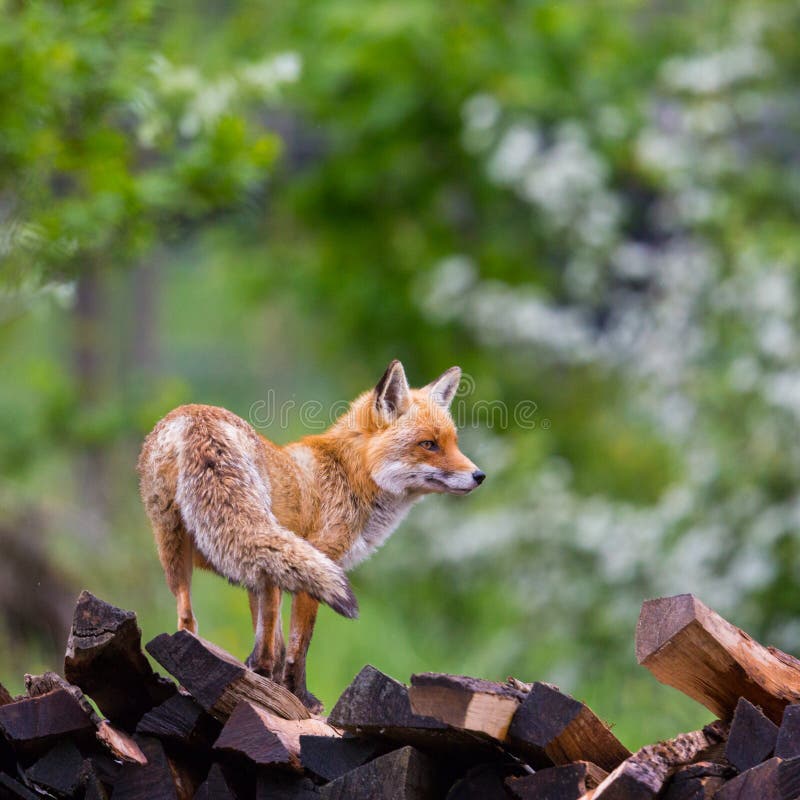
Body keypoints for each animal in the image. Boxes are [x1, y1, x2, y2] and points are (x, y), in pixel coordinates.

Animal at [137, 359, 484, 711]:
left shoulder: (263, 570)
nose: (479, 476)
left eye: (453, 442)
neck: (350, 474)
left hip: (177, 548)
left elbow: (273, 640)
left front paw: (268, 682)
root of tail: (193, 414)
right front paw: (298, 695)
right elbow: (298, 645)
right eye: (429, 444)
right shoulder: (318, 562)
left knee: (187, 620)